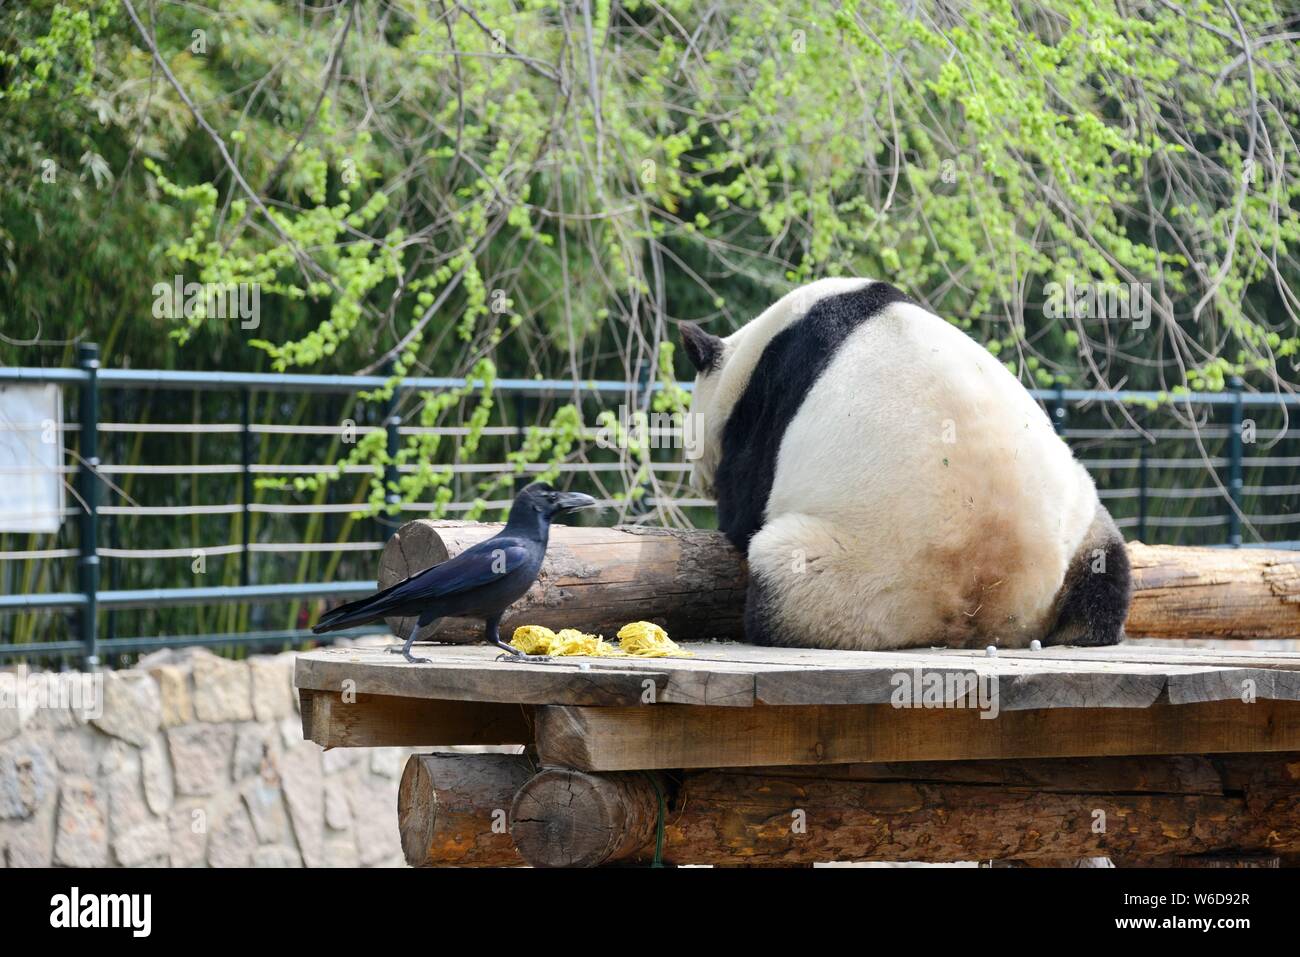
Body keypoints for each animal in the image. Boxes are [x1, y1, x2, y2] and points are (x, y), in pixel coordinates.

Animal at [679, 278, 1131, 651]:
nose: (697, 481)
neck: (750, 353)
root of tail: (987, 603)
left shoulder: (771, 396)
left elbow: (746, 500)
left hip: (857, 578)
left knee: (781, 577)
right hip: (1080, 523)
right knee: (1107, 571)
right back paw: (1086, 628)